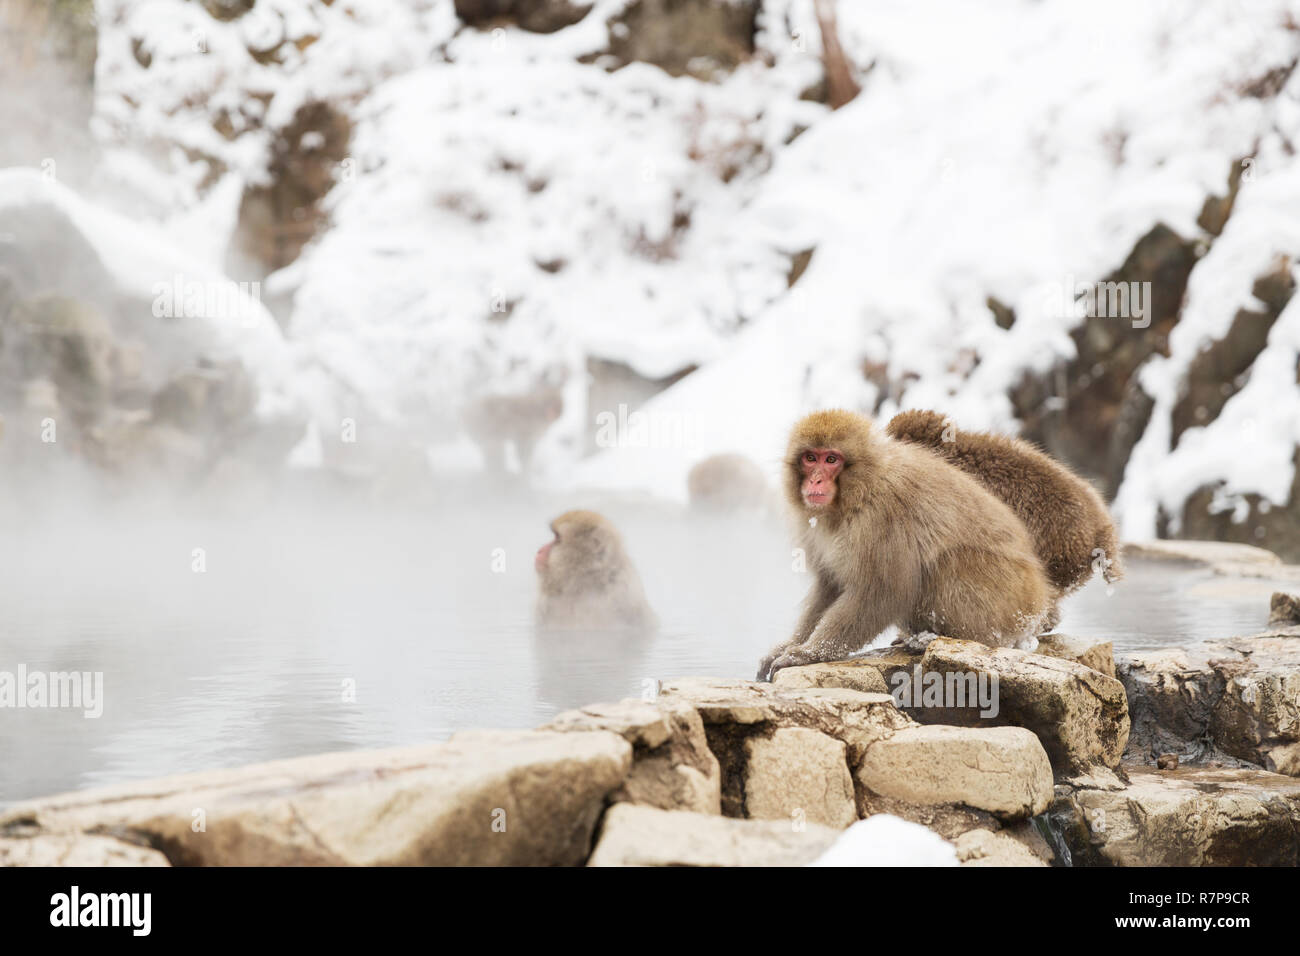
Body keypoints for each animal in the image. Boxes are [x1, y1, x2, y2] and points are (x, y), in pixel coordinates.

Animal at [756, 410, 1052, 681]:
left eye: (831, 459)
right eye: (810, 458)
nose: (816, 480)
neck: (860, 491)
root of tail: (1038, 601)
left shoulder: (882, 518)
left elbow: (882, 592)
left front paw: (807, 653)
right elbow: (830, 585)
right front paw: (792, 644)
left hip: (1008, 604)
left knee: (947, 562)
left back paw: (935, 638)